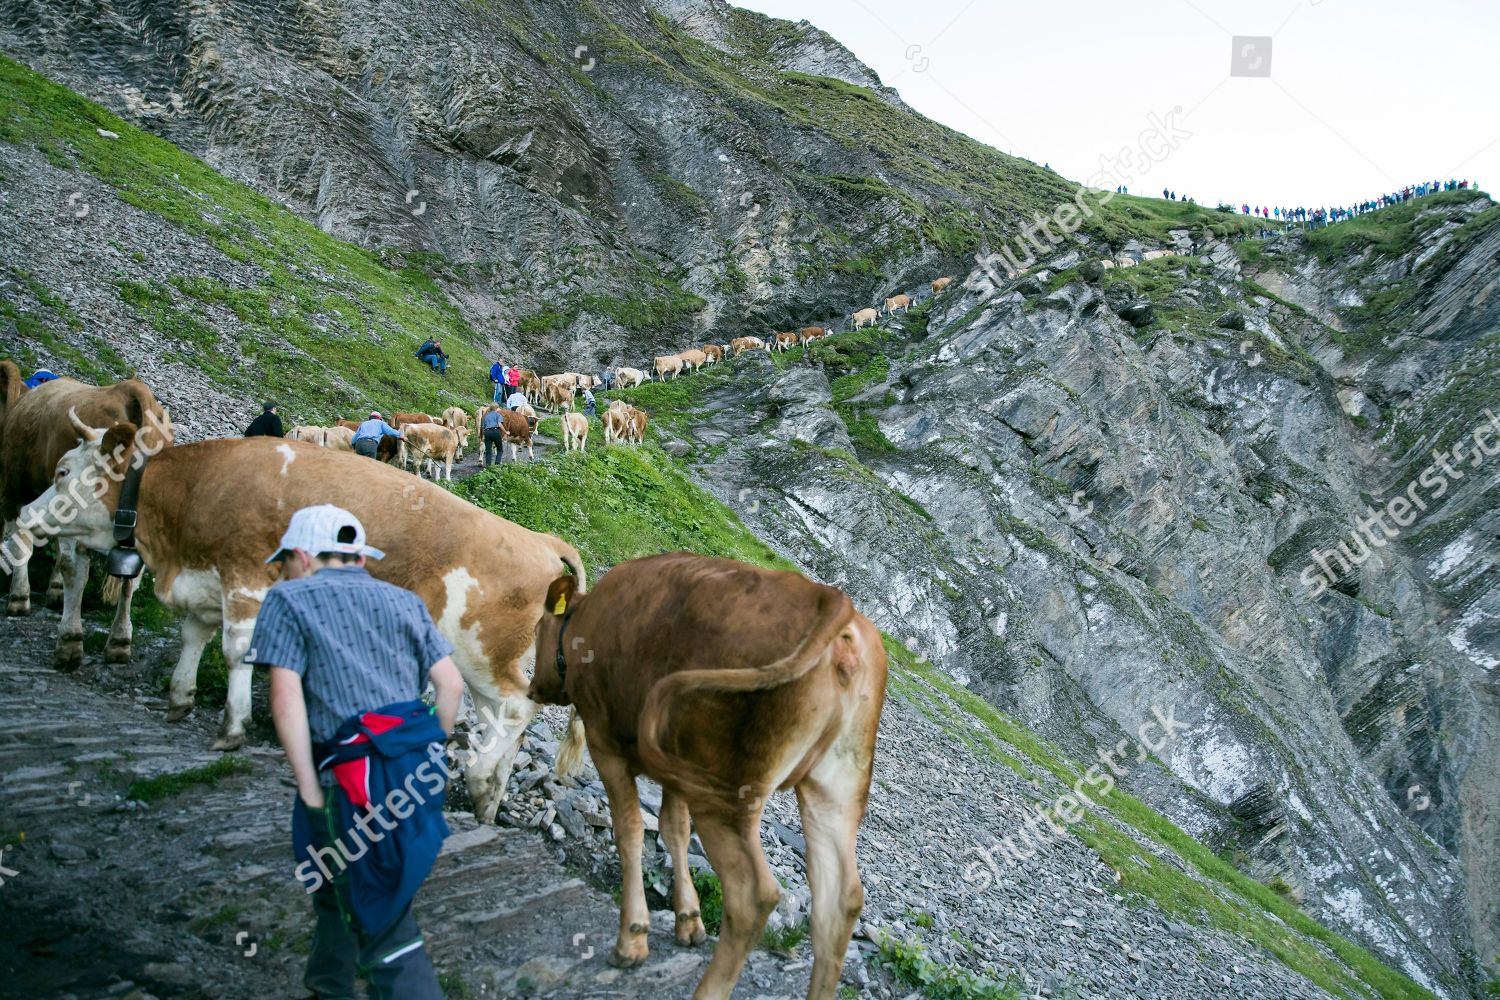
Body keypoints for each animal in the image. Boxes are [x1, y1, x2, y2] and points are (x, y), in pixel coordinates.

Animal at [0, 376, 175, 673]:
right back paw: (119, 642)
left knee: (74, 567)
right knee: (131, 581)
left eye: (63, 471)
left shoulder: (13, 490)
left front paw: (20, 600)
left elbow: (25, 547)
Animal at [21, 432, 584, 821]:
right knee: (504, 716)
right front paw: (180, 698)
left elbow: (235, 650)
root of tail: (541, 538)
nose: (25, 516)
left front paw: (232, 727)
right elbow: (193, 637)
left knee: (515, 707)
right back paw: (488, 793)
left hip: (484, 646)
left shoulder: (245, 576)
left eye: (63, 471)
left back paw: (480, 773)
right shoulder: (205, 581)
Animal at [530, 554, 886, 999]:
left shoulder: (604, 741)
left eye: (536, 629)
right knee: (841, 902)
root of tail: (836, 605)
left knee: (752, 897)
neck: (586, 624)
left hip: (728, 792)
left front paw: (633, 939)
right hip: (833, 793)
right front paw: (689, 920)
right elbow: (674, 830)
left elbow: (629, 830)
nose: (531, 688)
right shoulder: (677, 773)